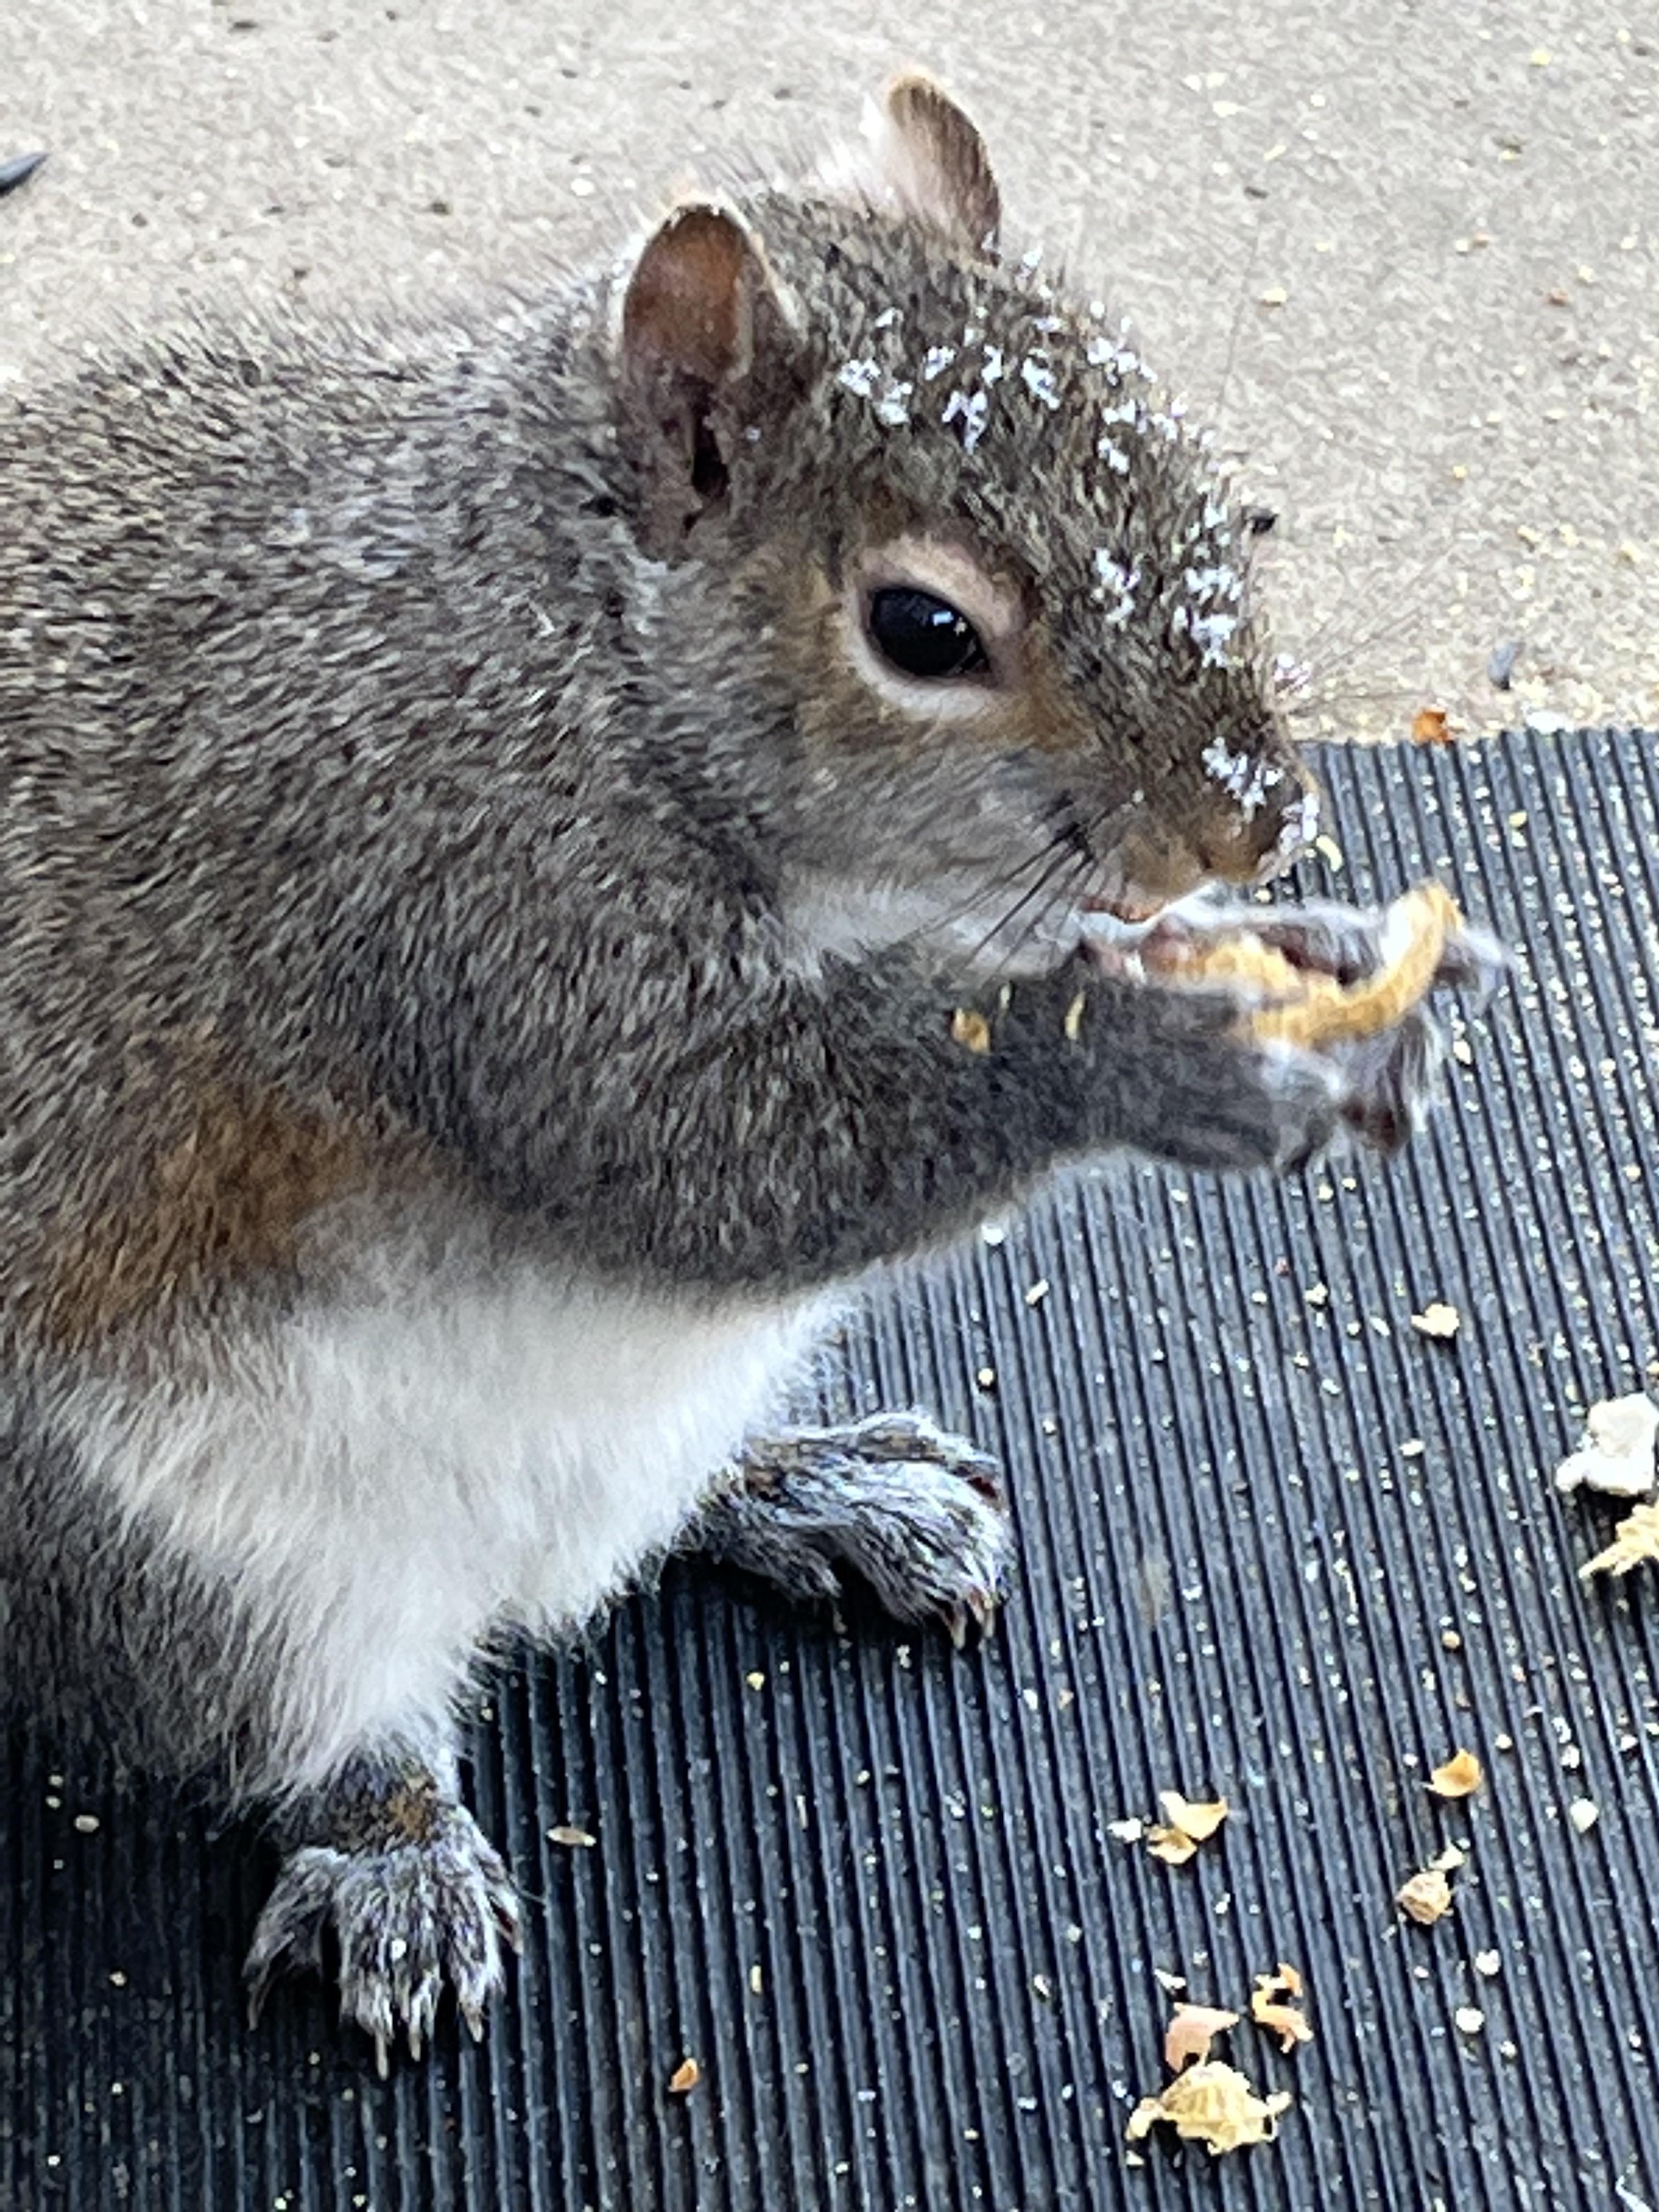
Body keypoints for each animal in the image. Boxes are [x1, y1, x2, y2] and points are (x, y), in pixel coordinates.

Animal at [0, 75, 1499, 2068]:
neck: (583, 639)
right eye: (924, 630)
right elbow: (700, 1146)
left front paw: (1333, 954)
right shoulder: (450, 864)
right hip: (193, 1549)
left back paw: (816, 1490)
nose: (1254, 820)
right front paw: (1142, 1051)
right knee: (316, 1704)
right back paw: (389, 1847)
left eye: (1222, 501)